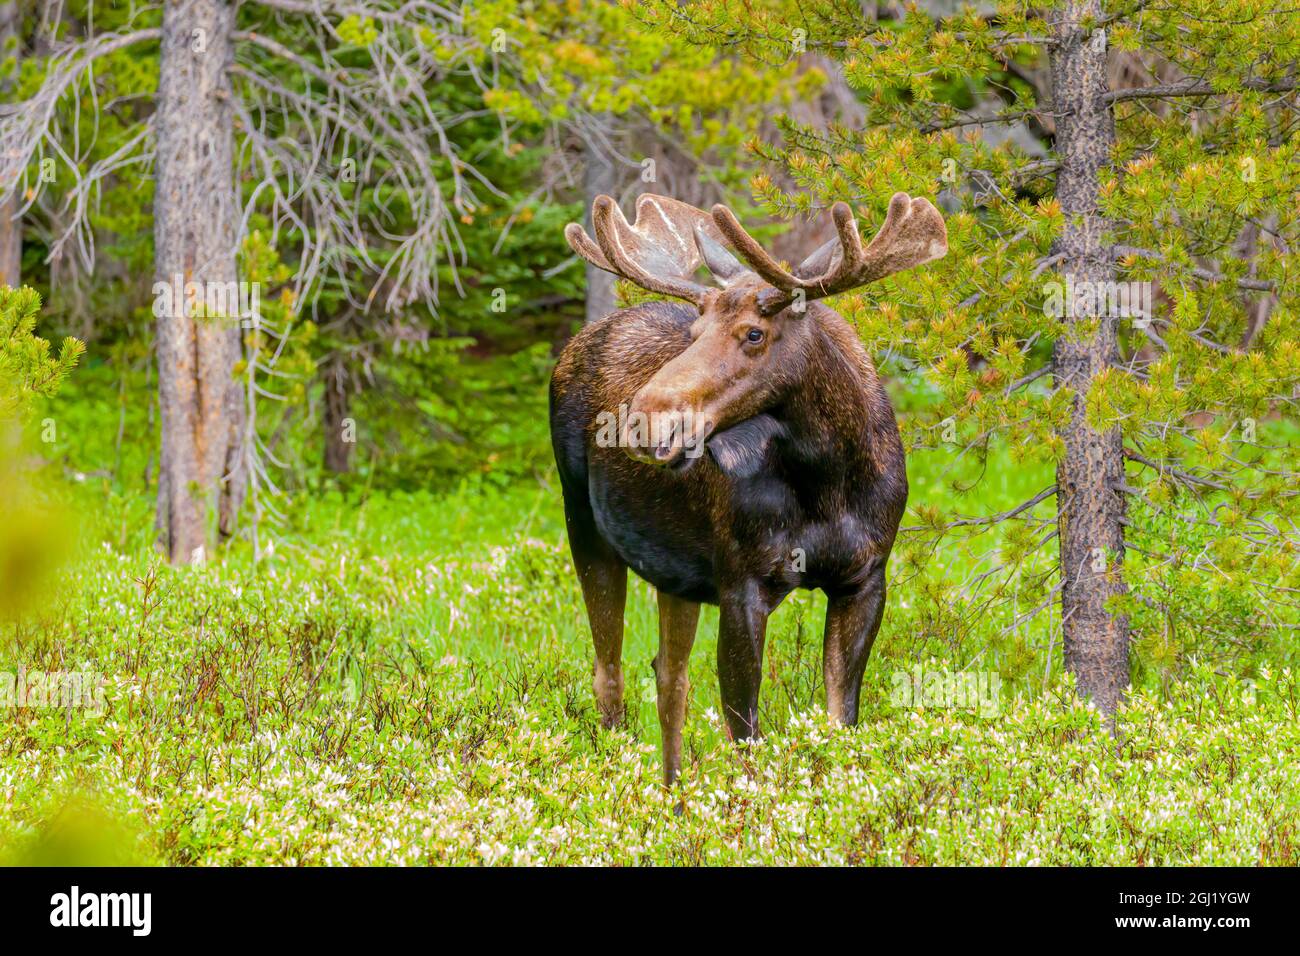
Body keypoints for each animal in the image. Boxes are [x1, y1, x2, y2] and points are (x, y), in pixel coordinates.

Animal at [550, 191, 948, 786]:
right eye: (692, 335)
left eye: (754, 334)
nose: (645, 418)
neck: (829, 480)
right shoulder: (742, 584)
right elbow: (746, 739)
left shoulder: (866, 577)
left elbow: (841, 721)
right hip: (583, 523)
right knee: (610, 672)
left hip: (673, 568)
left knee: (667, 677)